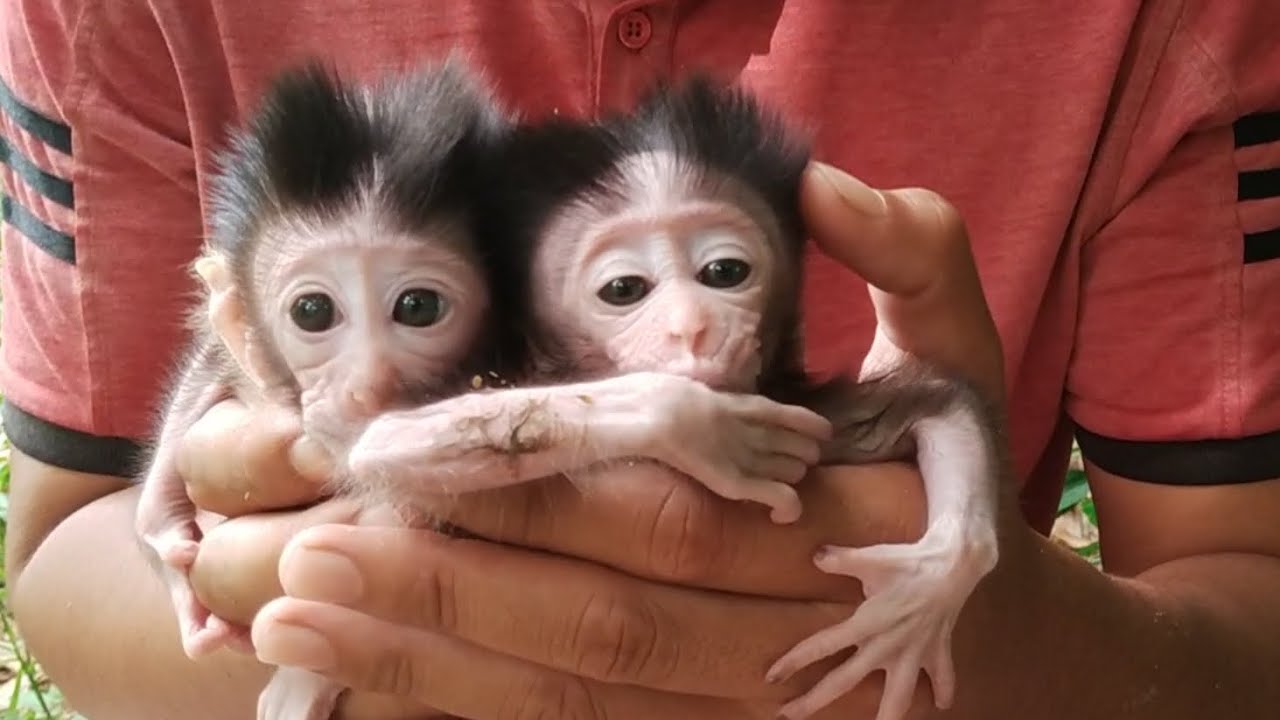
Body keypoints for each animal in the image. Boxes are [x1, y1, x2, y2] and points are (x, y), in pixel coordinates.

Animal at [350, 76, 1004, 720]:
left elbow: (941, 406)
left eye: (724, 272)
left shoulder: (816, 418)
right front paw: (700, 424)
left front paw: (920, 600)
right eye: (624, 289)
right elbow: (383, 444)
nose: (692, 327)